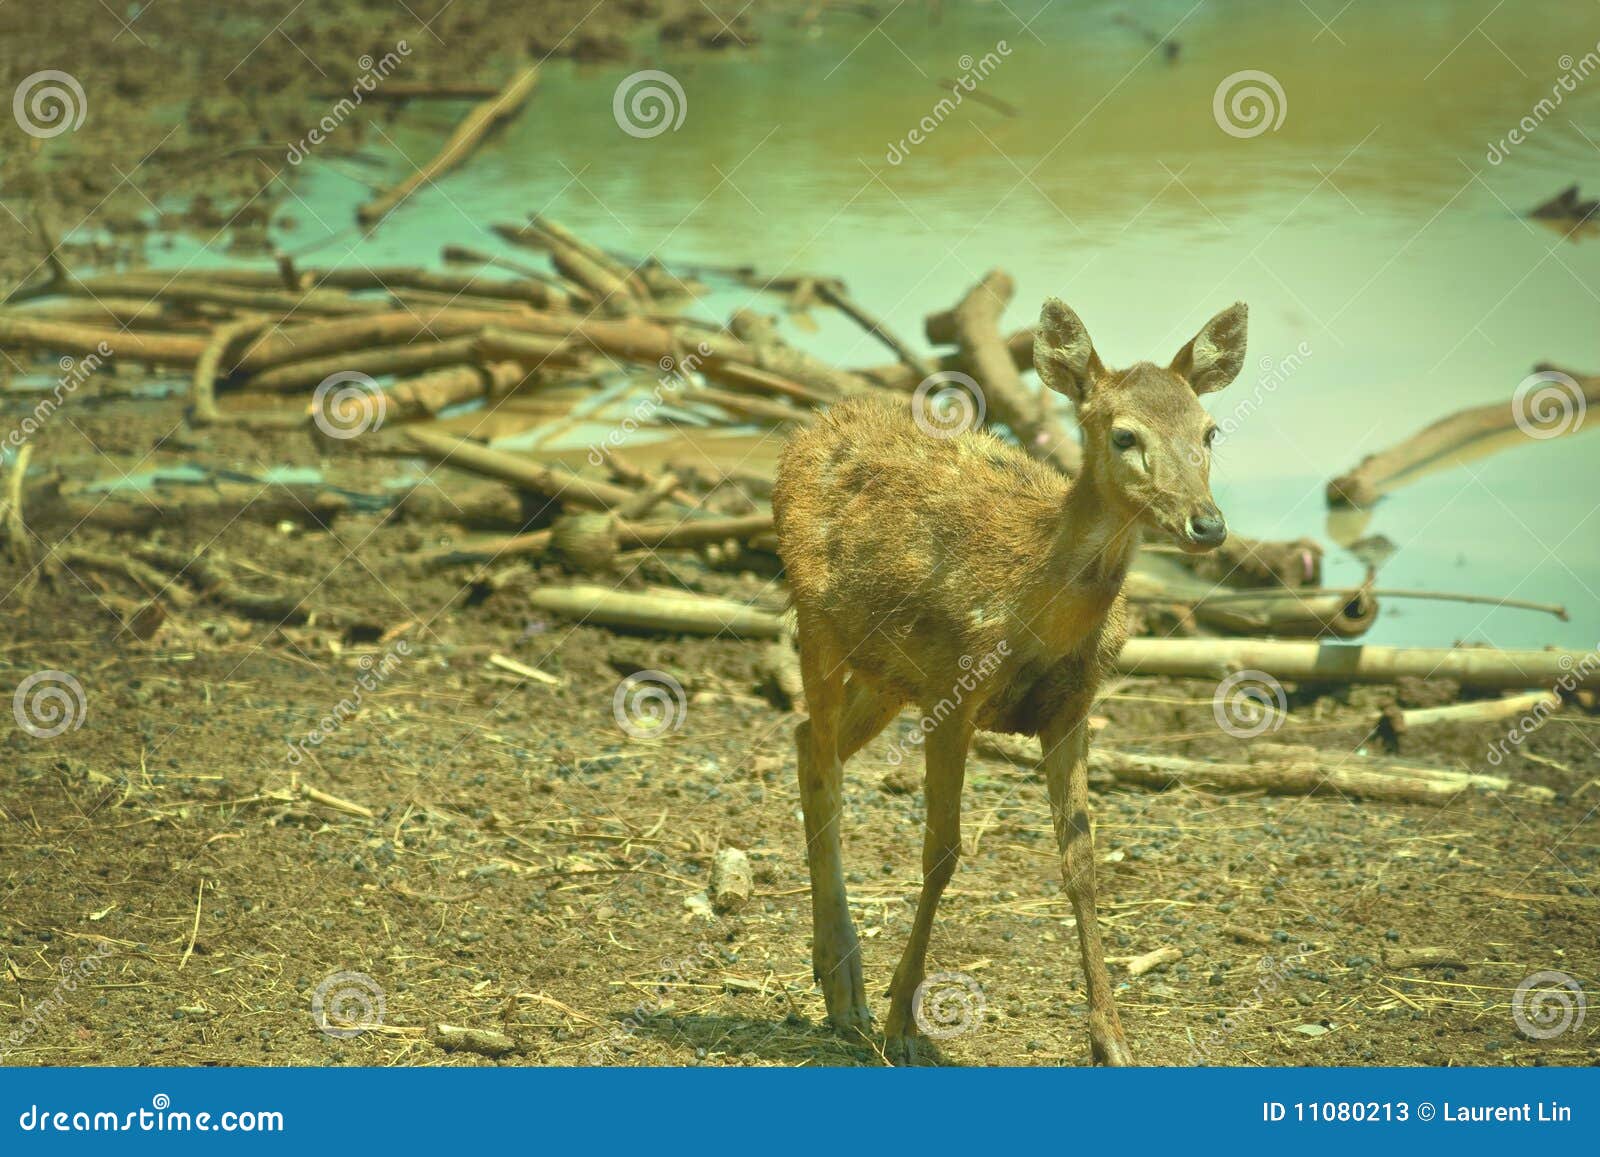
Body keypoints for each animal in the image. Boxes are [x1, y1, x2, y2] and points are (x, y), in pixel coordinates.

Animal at [771, 297, 1247, 1065]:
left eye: (1210, 430)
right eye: (1124, 434)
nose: (1207, 523)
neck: (1037, 608)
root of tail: (813, 425)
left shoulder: (1072, 708)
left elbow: (1081, 862)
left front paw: (1112, 1039)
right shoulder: (951, 691)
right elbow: (941, 851)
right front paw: (906, 1023)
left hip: (886, 674)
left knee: (806, 738)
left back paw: (840, 982)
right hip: (818, 626)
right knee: (820, 756)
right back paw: (846, 989)